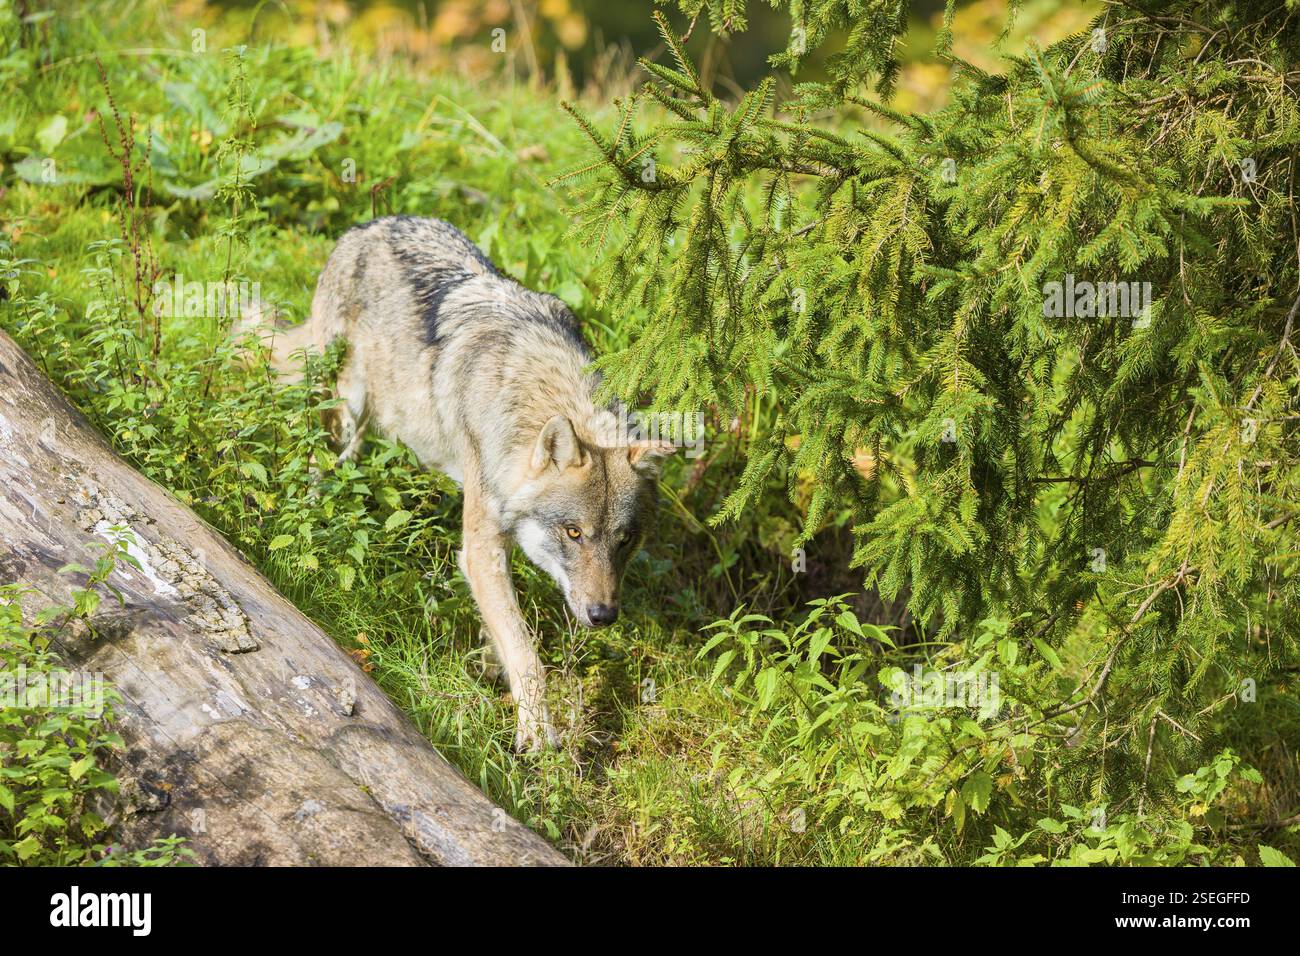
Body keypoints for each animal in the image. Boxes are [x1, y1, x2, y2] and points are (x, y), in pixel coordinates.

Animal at [239, 216, 675, 751]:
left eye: (625, 540)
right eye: (574, 533)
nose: (603, 616)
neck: (544, 387)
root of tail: (370, 224)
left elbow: (504, 632)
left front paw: (495, 669)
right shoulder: (481, 546)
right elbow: (527, 651)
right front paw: (537, 736)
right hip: (339, 401)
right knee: (319, 453)